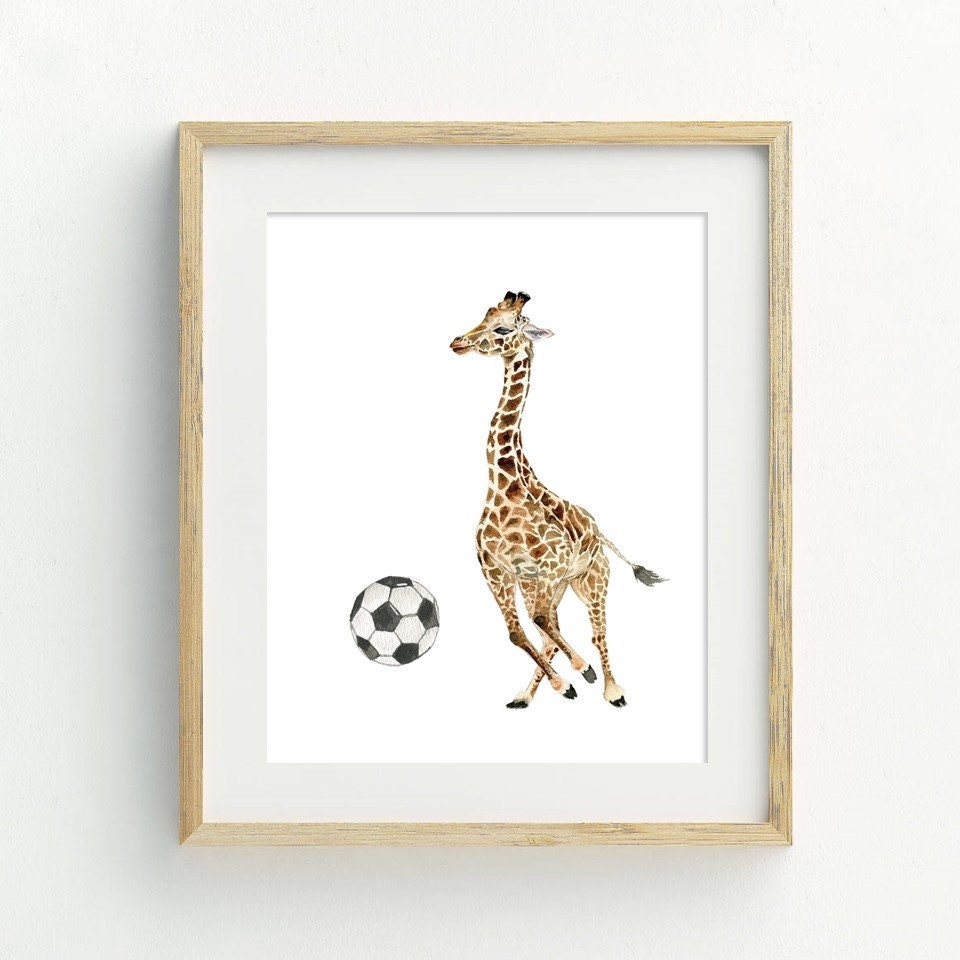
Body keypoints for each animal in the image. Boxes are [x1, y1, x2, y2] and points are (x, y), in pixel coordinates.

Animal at [450, 291, 666, 708]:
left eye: (503, 329)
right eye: (484, 318)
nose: (458, 343)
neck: (503, 485)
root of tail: (599, 532)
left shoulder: (548, 569)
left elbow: (540, 625)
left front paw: (584, 672)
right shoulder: (499, 573)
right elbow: (520, 632)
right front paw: (564, 682)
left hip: (590, 579)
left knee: (595, 630)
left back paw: (611, 689)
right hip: (549, 585)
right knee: (548, 629)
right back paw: (531, 694)